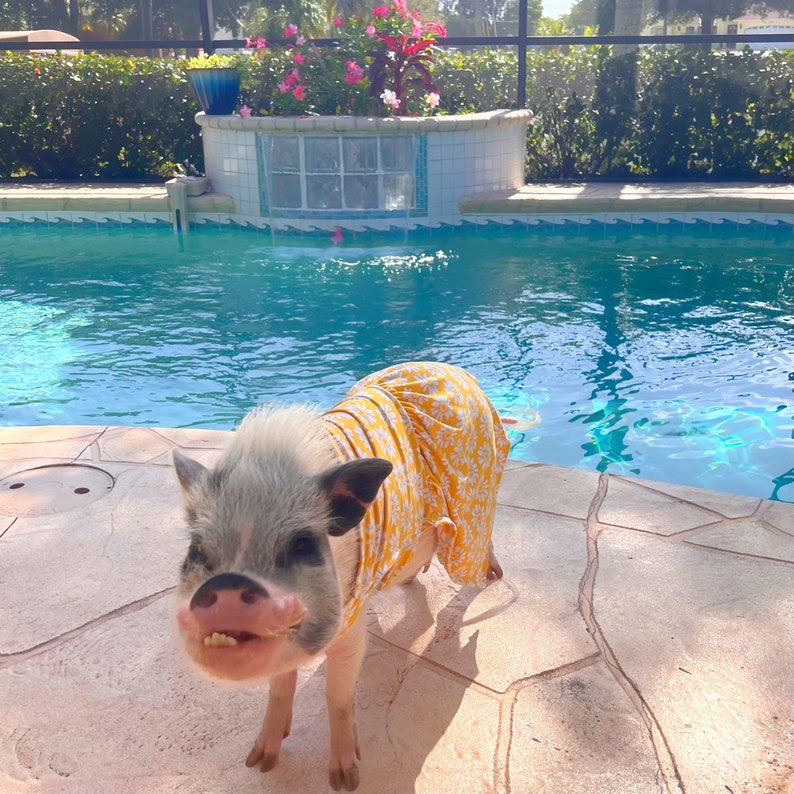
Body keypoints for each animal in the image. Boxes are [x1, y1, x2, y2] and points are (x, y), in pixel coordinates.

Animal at [173, 361, 510, 791]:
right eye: (198, 551)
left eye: (301, 546)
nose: (229, 586)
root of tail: (457, 371)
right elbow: (278, 688)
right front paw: (259, 762)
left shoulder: (351, 627)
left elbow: (337, 696)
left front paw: (345, 780)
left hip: (480, 503)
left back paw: (493, 574)